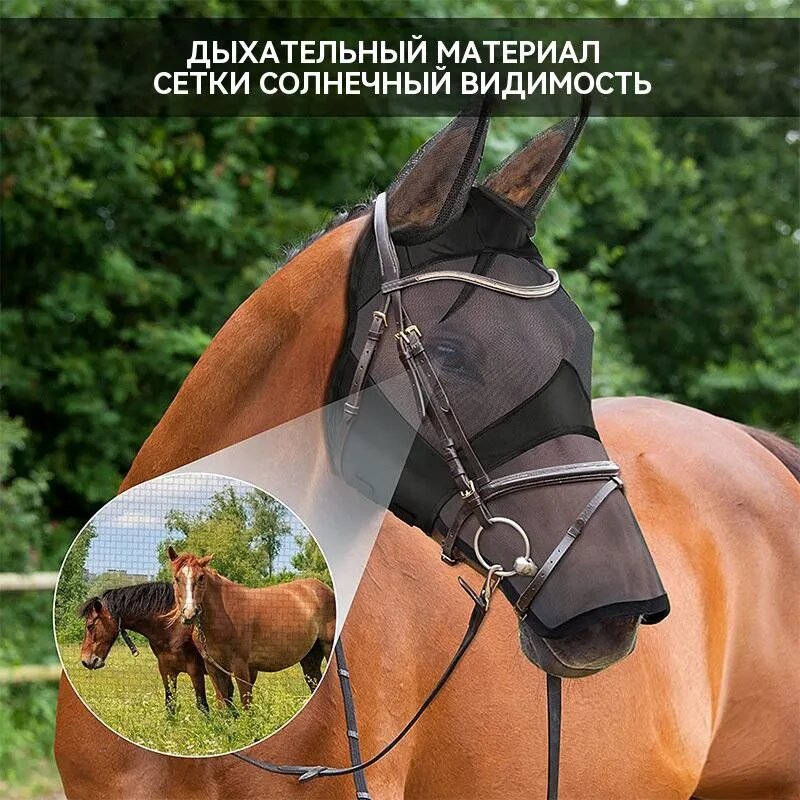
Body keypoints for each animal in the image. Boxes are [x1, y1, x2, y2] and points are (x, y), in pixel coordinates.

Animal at [77, 582, 210, 714]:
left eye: (90, 625)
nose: (85, 661)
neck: (174, 628)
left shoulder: (195, 670)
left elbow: (203, 706)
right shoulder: (167, 670)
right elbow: (170, 705)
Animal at [166, 547, 336, 709]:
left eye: (201, 577)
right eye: (177, 578)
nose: (189, 613)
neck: (222, 617)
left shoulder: (240, 665)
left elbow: (245, 703)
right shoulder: (214, 667)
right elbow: (223, 705)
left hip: (327, 647)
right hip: (310, 656)